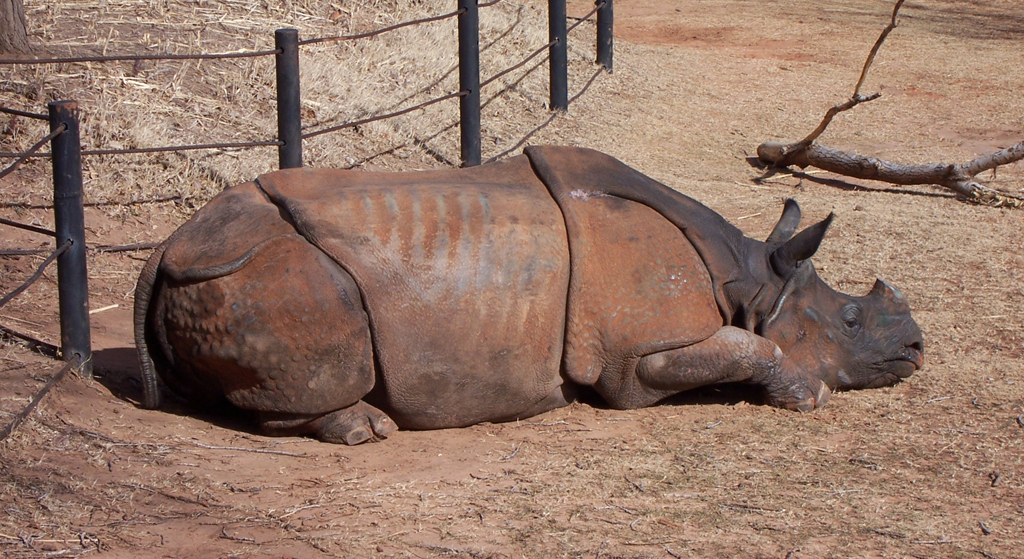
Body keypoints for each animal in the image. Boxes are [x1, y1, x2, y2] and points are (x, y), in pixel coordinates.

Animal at [134, 146, 923, 444]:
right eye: (852, 318)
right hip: (264, 273)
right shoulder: (638, 358)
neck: (755, 281)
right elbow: (748, 348)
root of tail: (165, 248)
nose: (918, 348)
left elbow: (746, 344)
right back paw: (366, 429)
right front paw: (810, 393)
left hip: (225, 272)